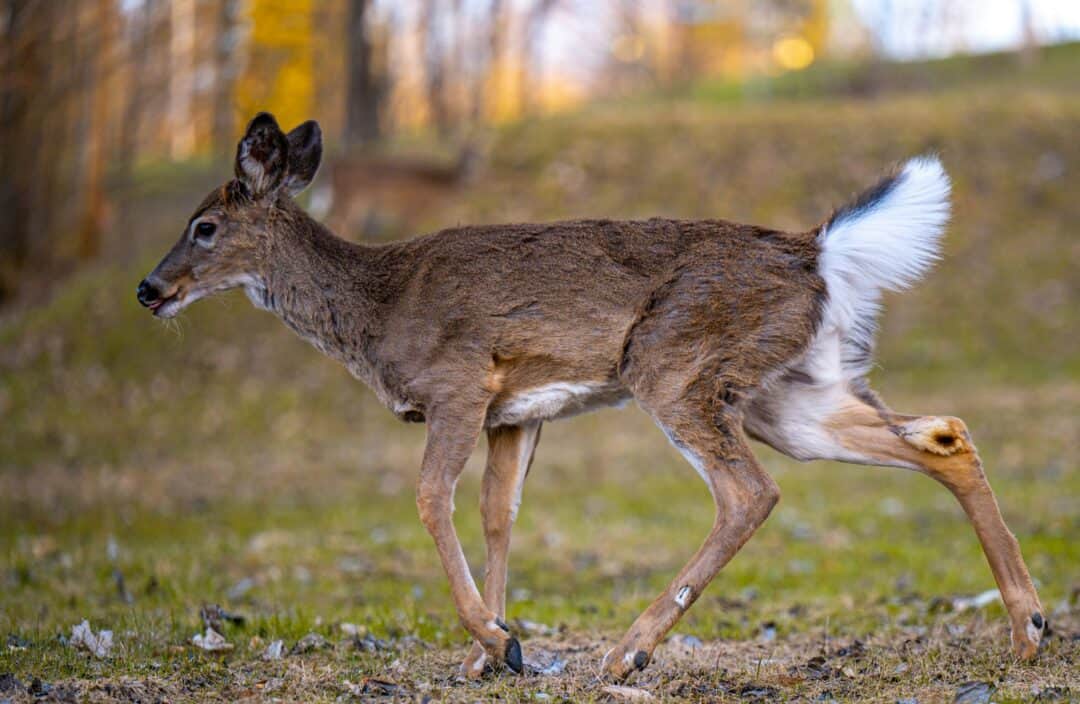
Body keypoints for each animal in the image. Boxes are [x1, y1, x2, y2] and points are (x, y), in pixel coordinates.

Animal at [137, 113, 1046, 681]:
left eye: (204, 227)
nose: (148, 289)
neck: (376, 306)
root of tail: (818, 250)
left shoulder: (458, 382)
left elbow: (431, 499)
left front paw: (491, 639)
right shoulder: (514, 413)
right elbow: (497, 515)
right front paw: (492, 649)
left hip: (671, 363)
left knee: (749, 492)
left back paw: (629, 652)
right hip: (789, 393)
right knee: (943, 435)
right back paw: (1030, 630)